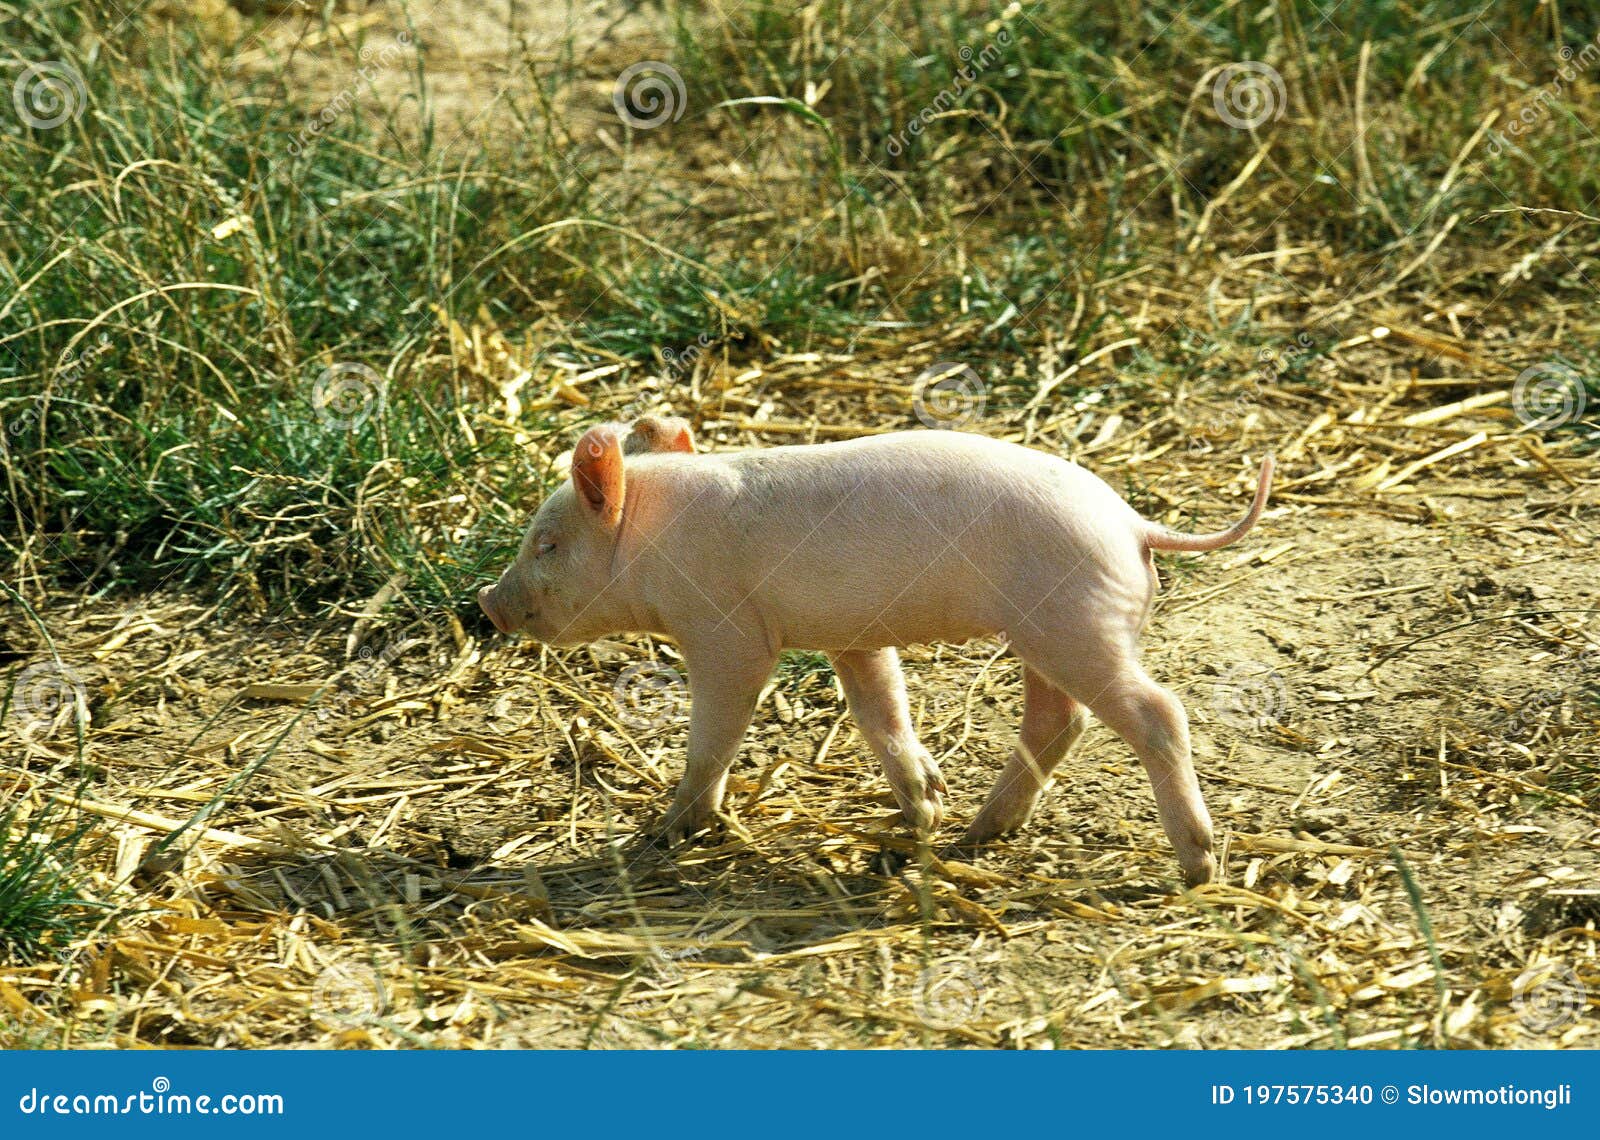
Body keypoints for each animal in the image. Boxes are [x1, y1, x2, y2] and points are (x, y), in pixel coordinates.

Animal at [478, 415, 1275, 886]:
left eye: (547, 544)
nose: (488, 599)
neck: (656, 538)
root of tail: (1136, 525)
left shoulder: (725, 630)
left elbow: (719, 728)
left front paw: (665, 831)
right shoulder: (853, 637)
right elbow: (880, 711)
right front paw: (923, 808)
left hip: (1072, 621)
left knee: (1157, 712)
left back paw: (1199, 867)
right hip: (1050, 628)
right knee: (1059, 718)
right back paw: (975, 833)